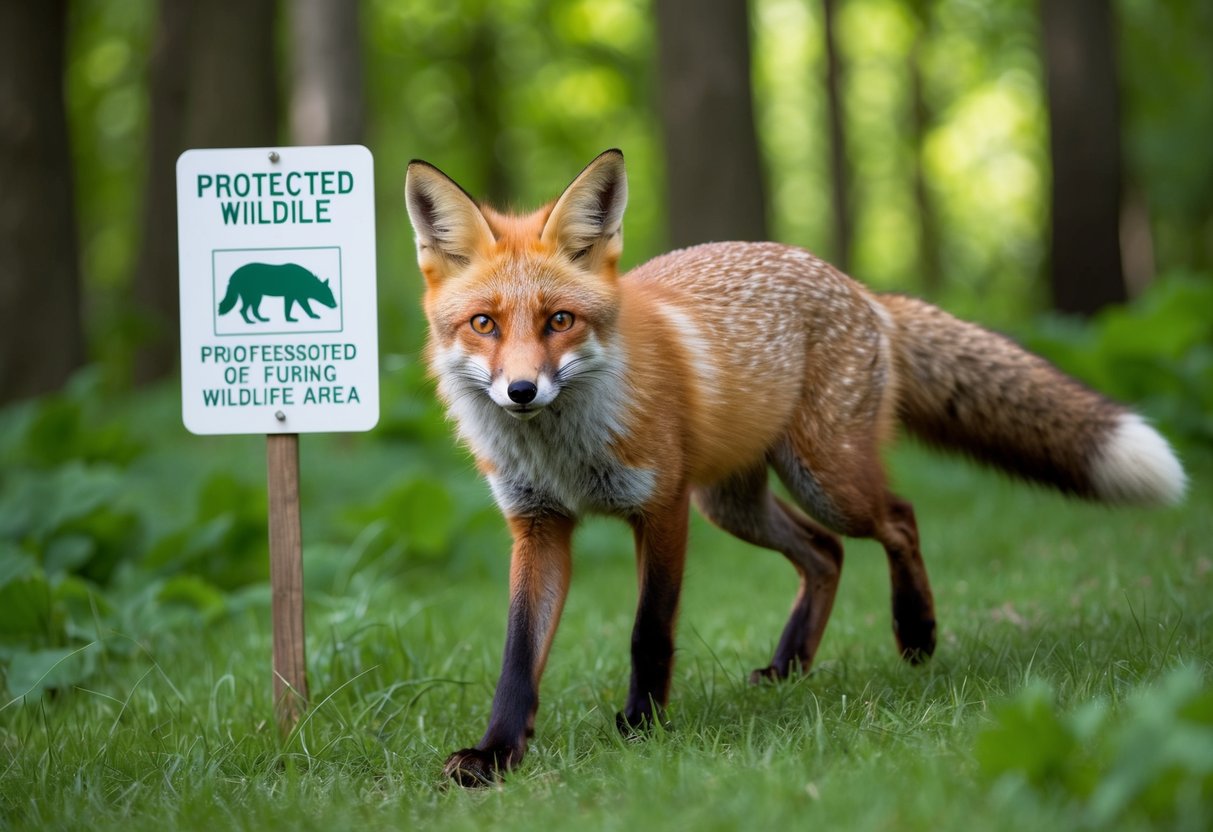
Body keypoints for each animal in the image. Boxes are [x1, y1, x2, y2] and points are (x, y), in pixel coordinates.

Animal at [403, 149, 1187, 787]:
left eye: (560, 321)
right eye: (484, 325)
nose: (521, 391)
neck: (562, 451)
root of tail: (857, 286)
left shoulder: (661, 507)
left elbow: (648, 630)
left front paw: (643, 728)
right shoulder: (538, 523)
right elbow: (517, 655)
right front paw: (496, 754)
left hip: (823, 479)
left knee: (897, 520)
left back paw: (916, 632)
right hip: (736, 503)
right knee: (826, 552)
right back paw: (789, 666)